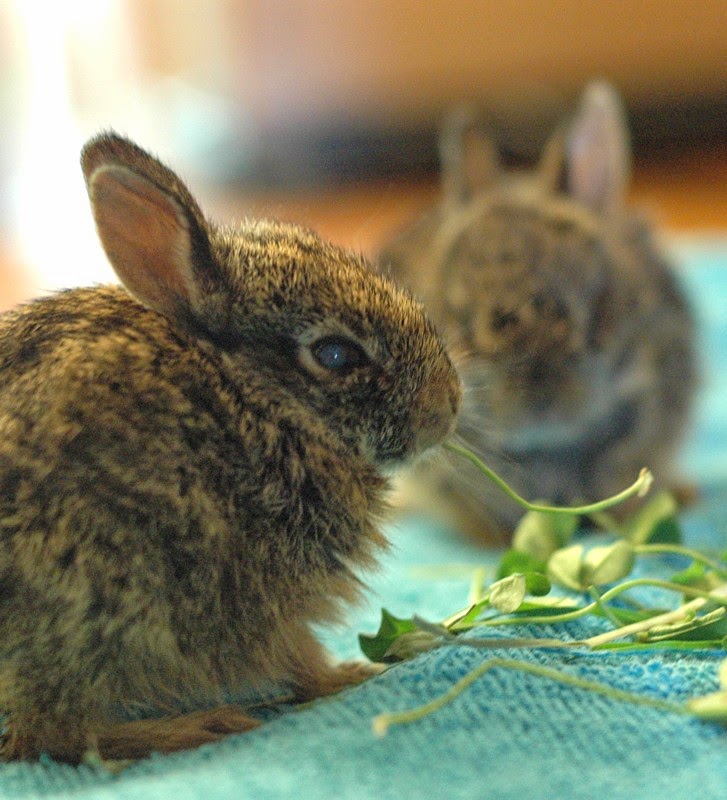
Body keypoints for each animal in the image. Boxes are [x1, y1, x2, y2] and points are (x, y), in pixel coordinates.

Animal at [0, 132, 461, 763]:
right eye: (336, 355)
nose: (449, 407)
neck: (255, 395)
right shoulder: (260, 593)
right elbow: (299, 659)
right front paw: (355, 674)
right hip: (91, 597)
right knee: (55, 733)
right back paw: (195, 727)